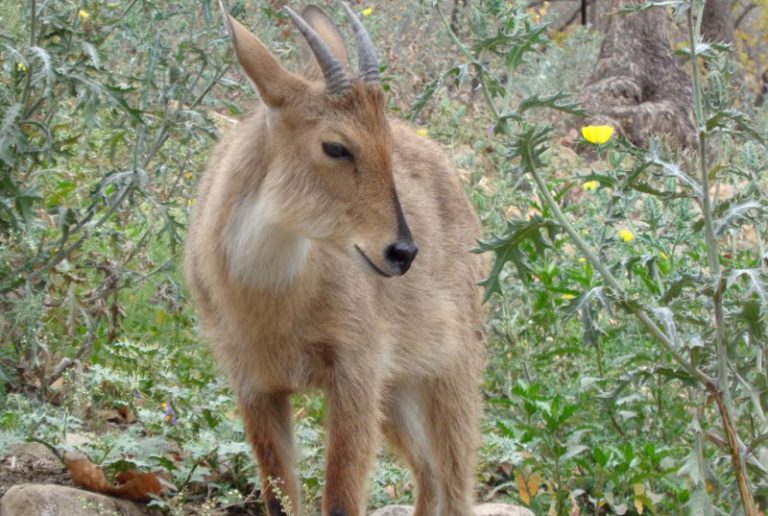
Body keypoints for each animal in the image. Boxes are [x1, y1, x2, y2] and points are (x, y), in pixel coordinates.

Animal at [184, 2, 488, 515]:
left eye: (388, 142)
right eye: (336, 145)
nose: (402, 251)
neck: (269, 302)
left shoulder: (354, 374)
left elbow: (342, 498)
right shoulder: (256, 386)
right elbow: (280, 498)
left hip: (451, 371)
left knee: (456, 484)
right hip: (398, 390)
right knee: (428, 473)